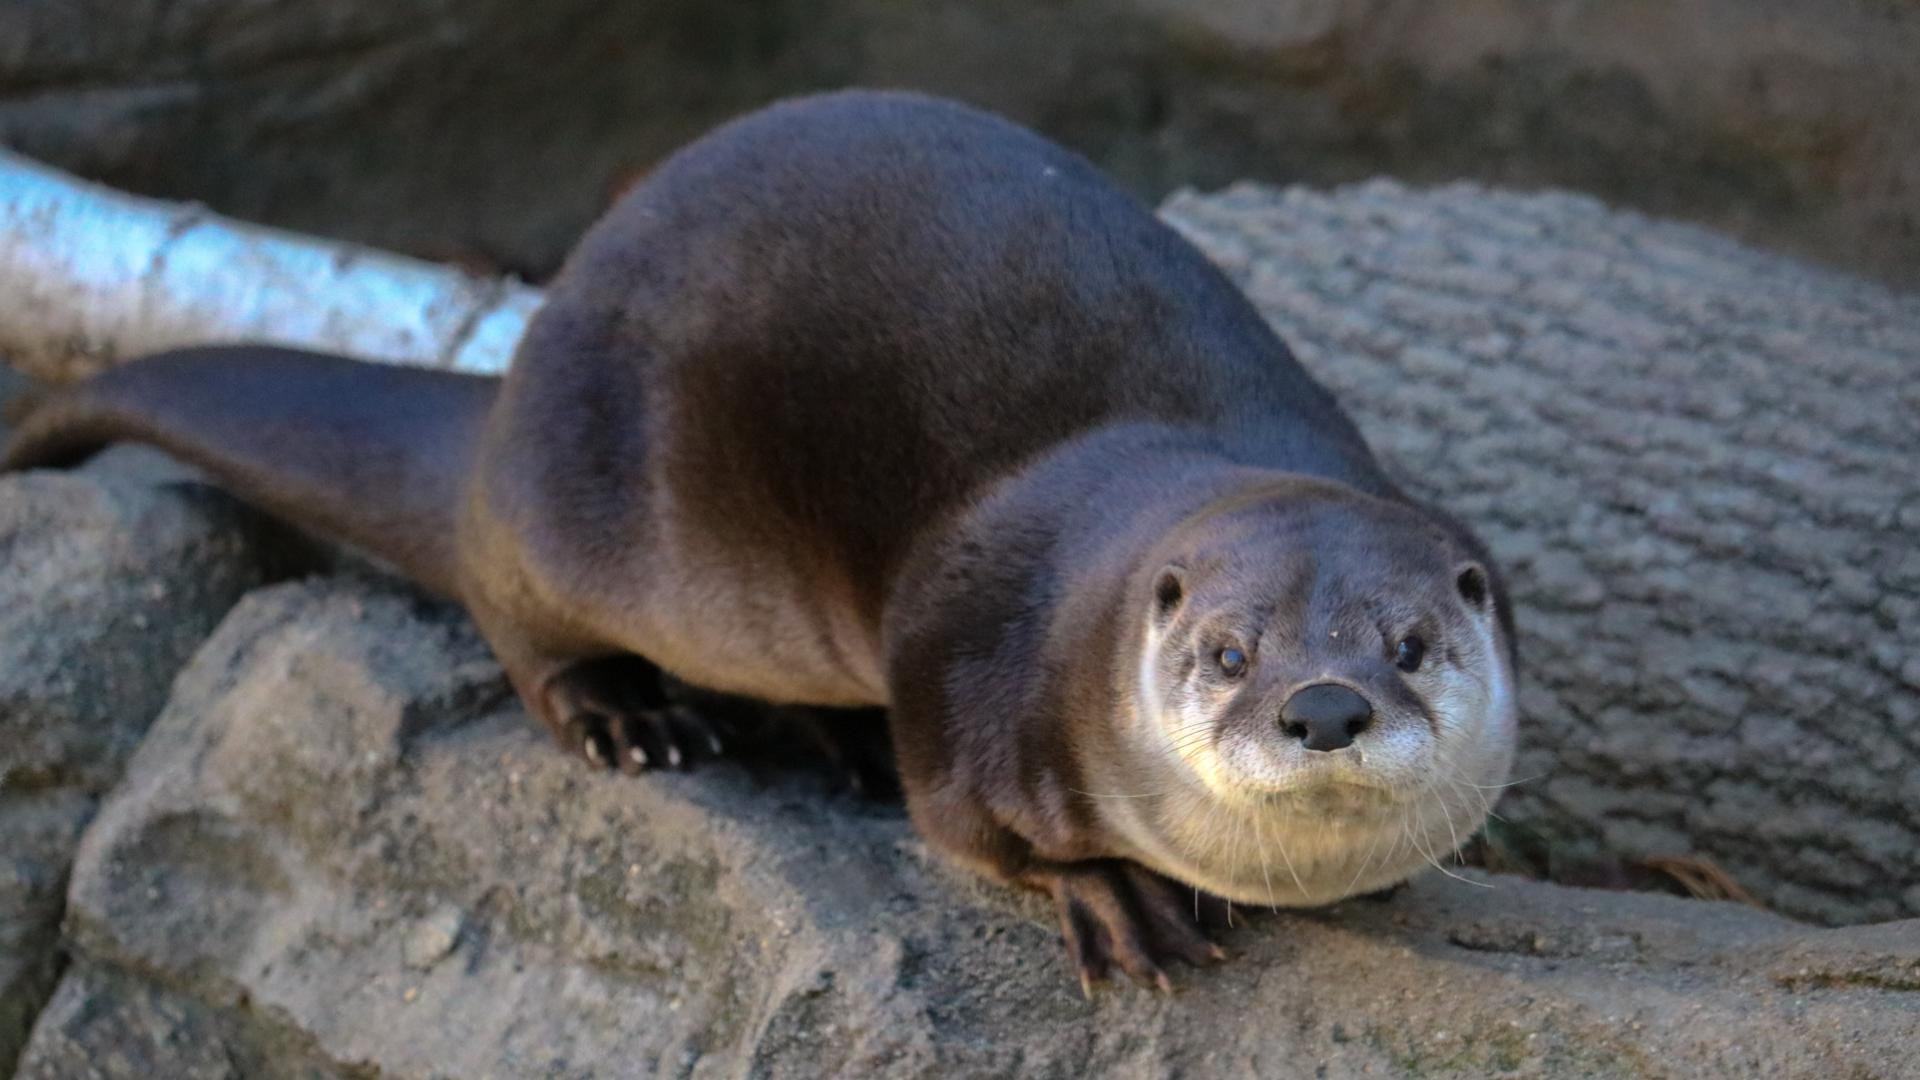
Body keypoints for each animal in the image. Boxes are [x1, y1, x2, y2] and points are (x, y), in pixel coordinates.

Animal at [3, 90, 1517, 992]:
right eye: (1228, 651)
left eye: (1410, 643)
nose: (1323, 709)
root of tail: (517, 376)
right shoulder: (979, 672)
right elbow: (972, 830)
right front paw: (1118, 899)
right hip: (583, 514)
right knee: (512, 602)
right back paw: (632, 719)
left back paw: (835, 743)